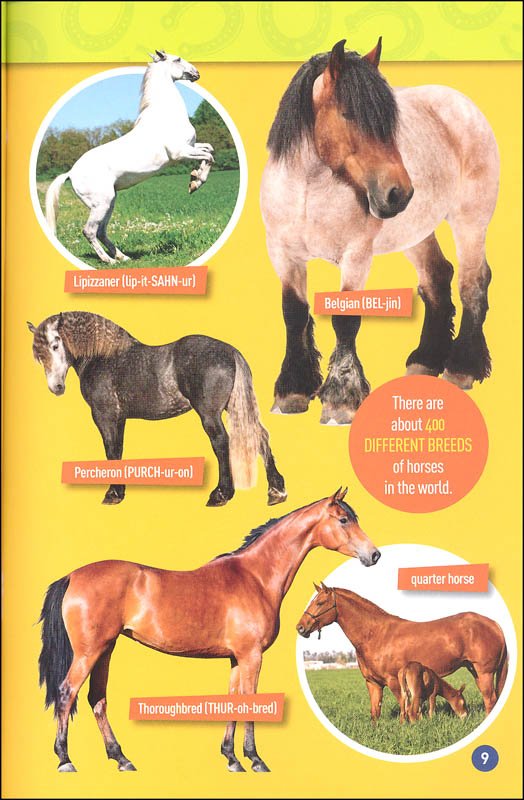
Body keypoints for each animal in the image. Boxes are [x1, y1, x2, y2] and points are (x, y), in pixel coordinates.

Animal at [28, 311, 286, 507]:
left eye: (55, 345)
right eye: (38, 356)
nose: (56, 387)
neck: (103, 356)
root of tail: (231, 352)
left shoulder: (104, 417)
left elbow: (110, 451)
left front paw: (112, 494)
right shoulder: (119, 419)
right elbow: (118, 451)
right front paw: (119, 491)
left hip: (210, 415)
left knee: (222, 443)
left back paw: (220, 495)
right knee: (260, 436)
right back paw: (276, 491)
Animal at [38, 489, 381, 773]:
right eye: (343, 519)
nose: (374, 554)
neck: (255, 577)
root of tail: (72, 576)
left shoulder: (236, 658)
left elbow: (233, 701)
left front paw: (232, 758)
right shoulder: (251, 656)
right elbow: (250, 701)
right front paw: (255, 759)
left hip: (105, 649)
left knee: (97, 699)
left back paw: (121, 758)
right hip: (89, 652)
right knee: (67, 693)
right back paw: (66, 760)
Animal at [45, 49, 215, 265]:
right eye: (177, 59)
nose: (196, 73)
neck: (166, 115)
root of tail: (71, 173)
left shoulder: (190, 147)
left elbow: (209, 149)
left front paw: (194, 178)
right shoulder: (181, 152)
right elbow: (208, 156)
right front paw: (195, 182)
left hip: (110, 202)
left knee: (101, 231)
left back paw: (123, 256)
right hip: (101, 204)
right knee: (89, 231)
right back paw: (110, 261)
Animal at [261, 38, 499, 424]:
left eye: (390, 122)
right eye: (348, 114)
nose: (398, 192)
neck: (308, 192)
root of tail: (463, 104)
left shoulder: (356, 256)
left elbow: (345, 319)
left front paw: (340, 402)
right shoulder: (284, 255)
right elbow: (294, 315)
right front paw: (292, 393)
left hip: (471, 220)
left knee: (472, 283)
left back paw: (461, 369)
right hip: (417, 232)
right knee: (437, 278)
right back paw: (425, 361)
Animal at [296, 584, 507, 718]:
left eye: (320, 603)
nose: (300, 627)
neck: (375, 634)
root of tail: (494, 624)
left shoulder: (394, 682)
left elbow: (404, 708)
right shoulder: (373, 683)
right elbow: (375, 713)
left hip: (485, 672)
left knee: (490, 700)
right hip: (475, 671)